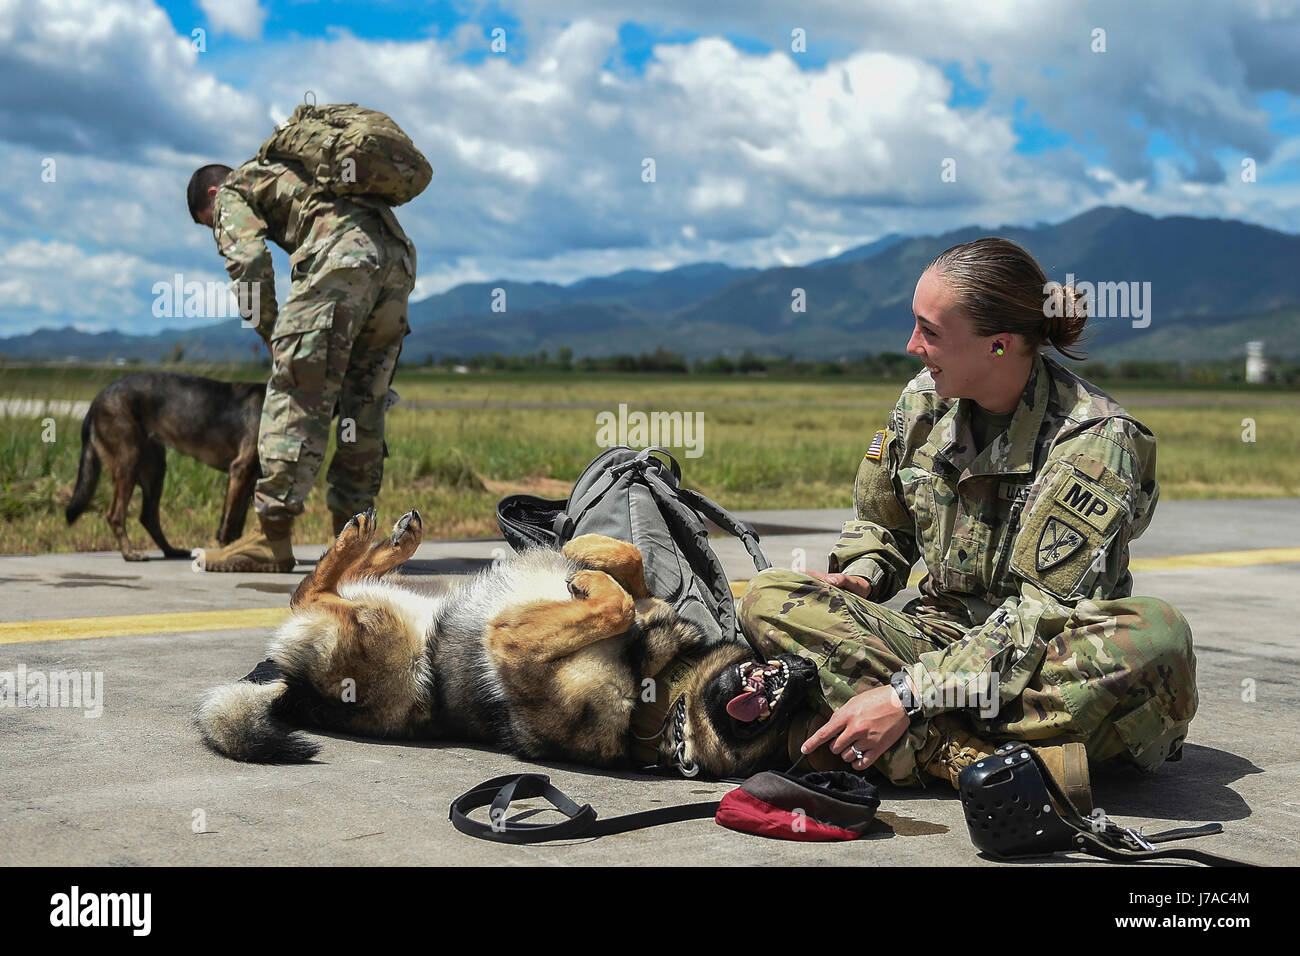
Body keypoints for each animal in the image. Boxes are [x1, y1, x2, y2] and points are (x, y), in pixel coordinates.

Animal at [65, 369, 263, 556]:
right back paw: (130, 553)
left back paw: (171, 550)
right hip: (129, 461)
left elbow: (237, 523)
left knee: (148, 517)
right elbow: (229, 524)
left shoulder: (248, 480)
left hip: (155, 468)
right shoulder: (241, 471)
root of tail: (96, 400)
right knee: (115, 515)